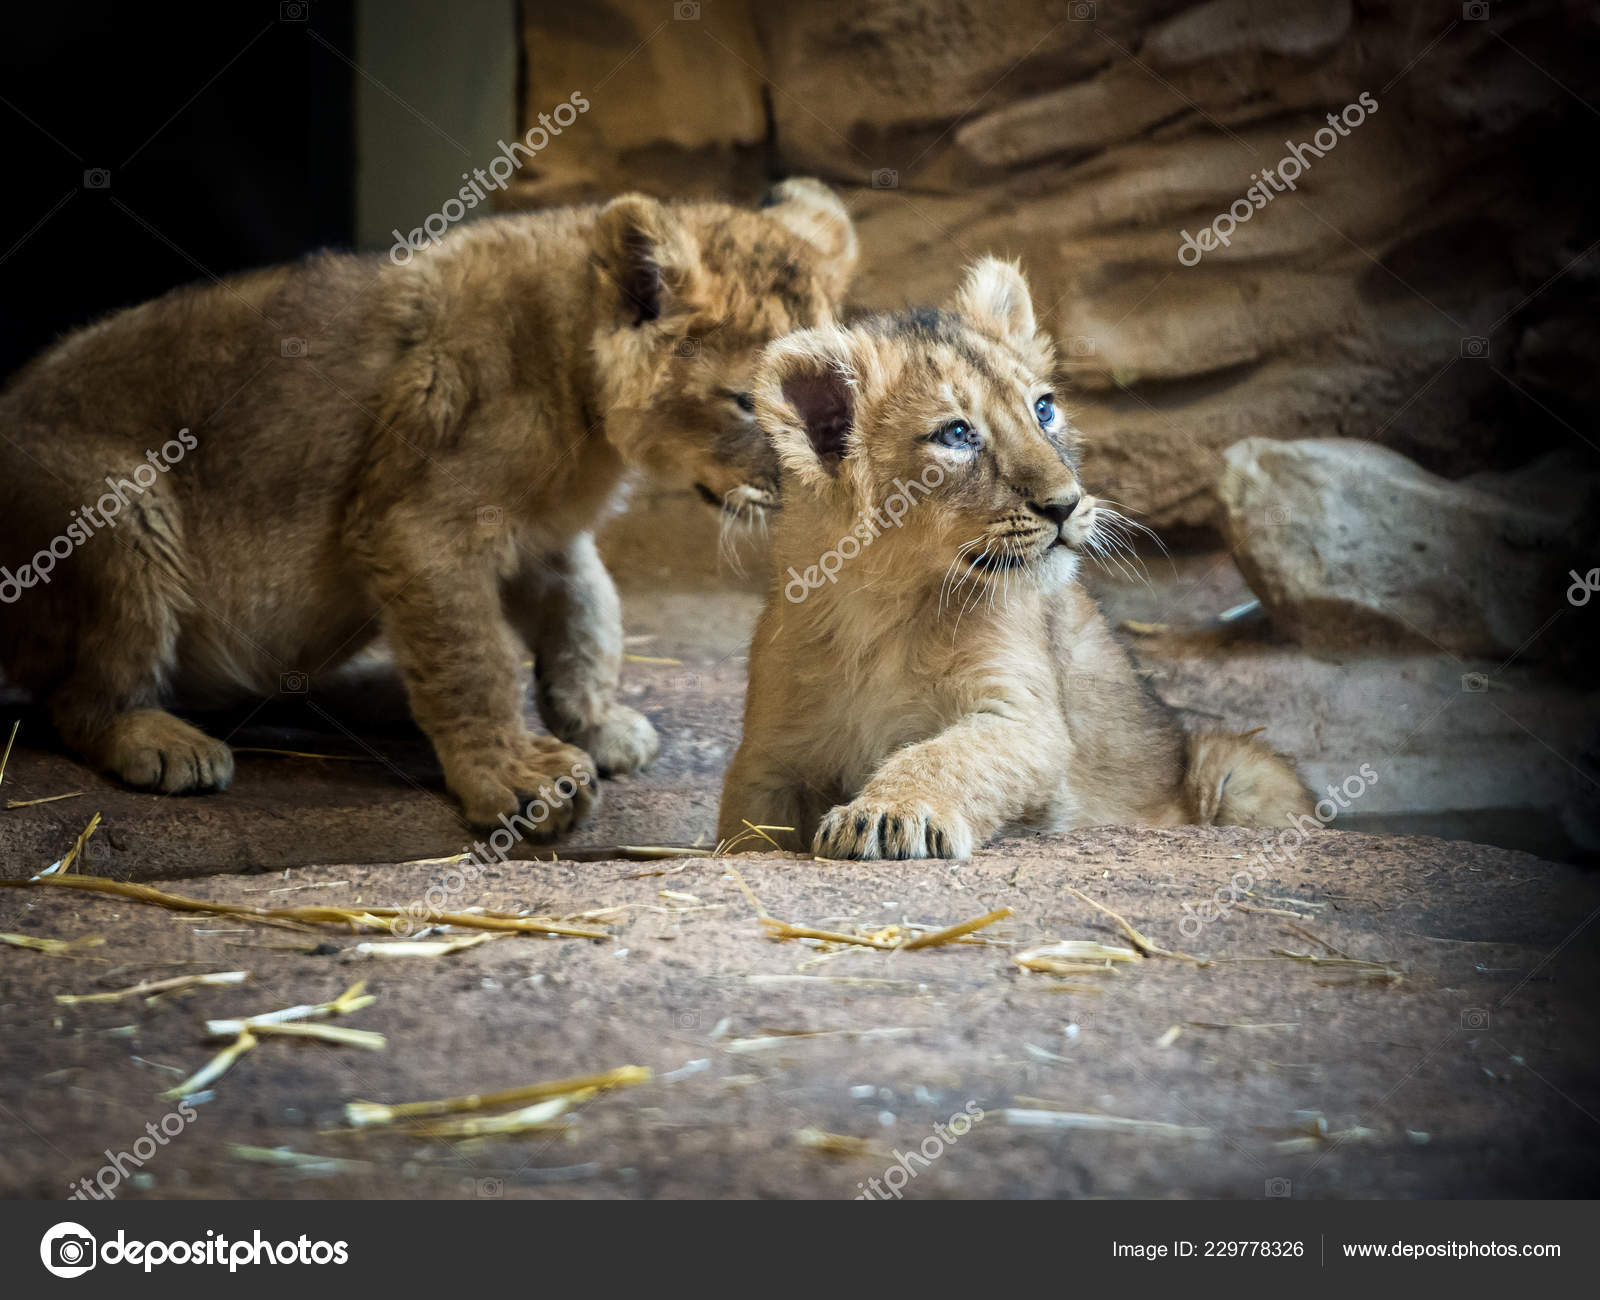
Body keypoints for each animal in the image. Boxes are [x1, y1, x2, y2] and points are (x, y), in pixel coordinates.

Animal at [0, 179, 856, 833]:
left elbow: (590, 615)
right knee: (73, 701)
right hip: (119, 510)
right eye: (745, 401)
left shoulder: (549, 536)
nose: (812, 483)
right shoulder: (419, 526)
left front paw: (597, 722)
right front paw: (519, 778)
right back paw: (165, 742)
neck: (575, 382)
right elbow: (473, 657)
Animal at [717, 257, 1312, 859]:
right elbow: (744, 829)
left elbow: (950, 755)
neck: (880, 603)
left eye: (1043, 409)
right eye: (957, 433)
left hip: (1240, 768)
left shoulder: (1024, 716)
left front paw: (886, 814)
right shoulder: (767, 757)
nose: (1066, 504)